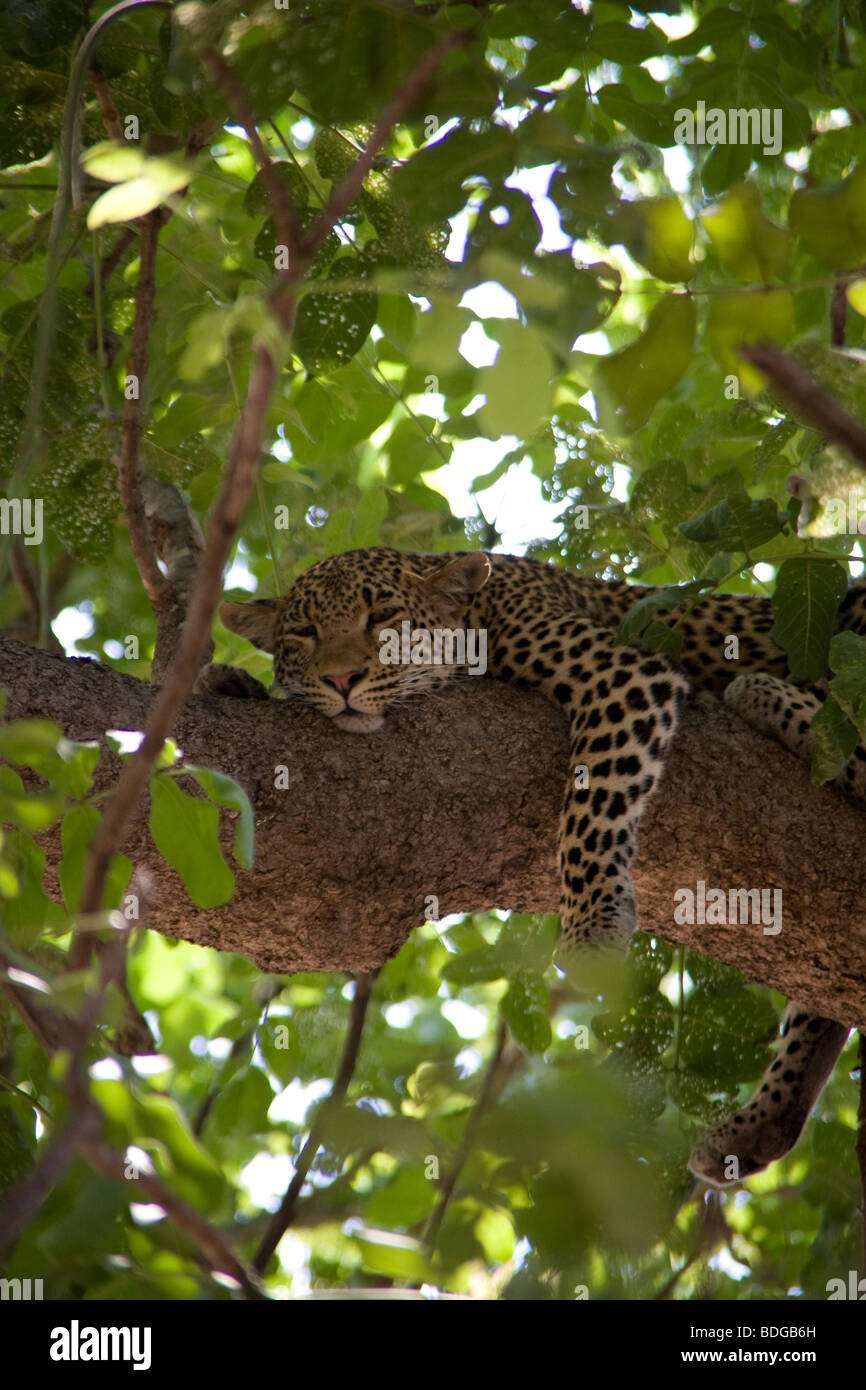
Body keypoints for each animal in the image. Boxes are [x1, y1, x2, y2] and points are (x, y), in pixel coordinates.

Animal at [219, 546, 865, 1188]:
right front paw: (226, 681)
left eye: (381, 617)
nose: (341, 680)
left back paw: (771, 698)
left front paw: (593, 923)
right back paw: (755, 1129)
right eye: (303, 633)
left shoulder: (618, 670)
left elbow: (592, 801)